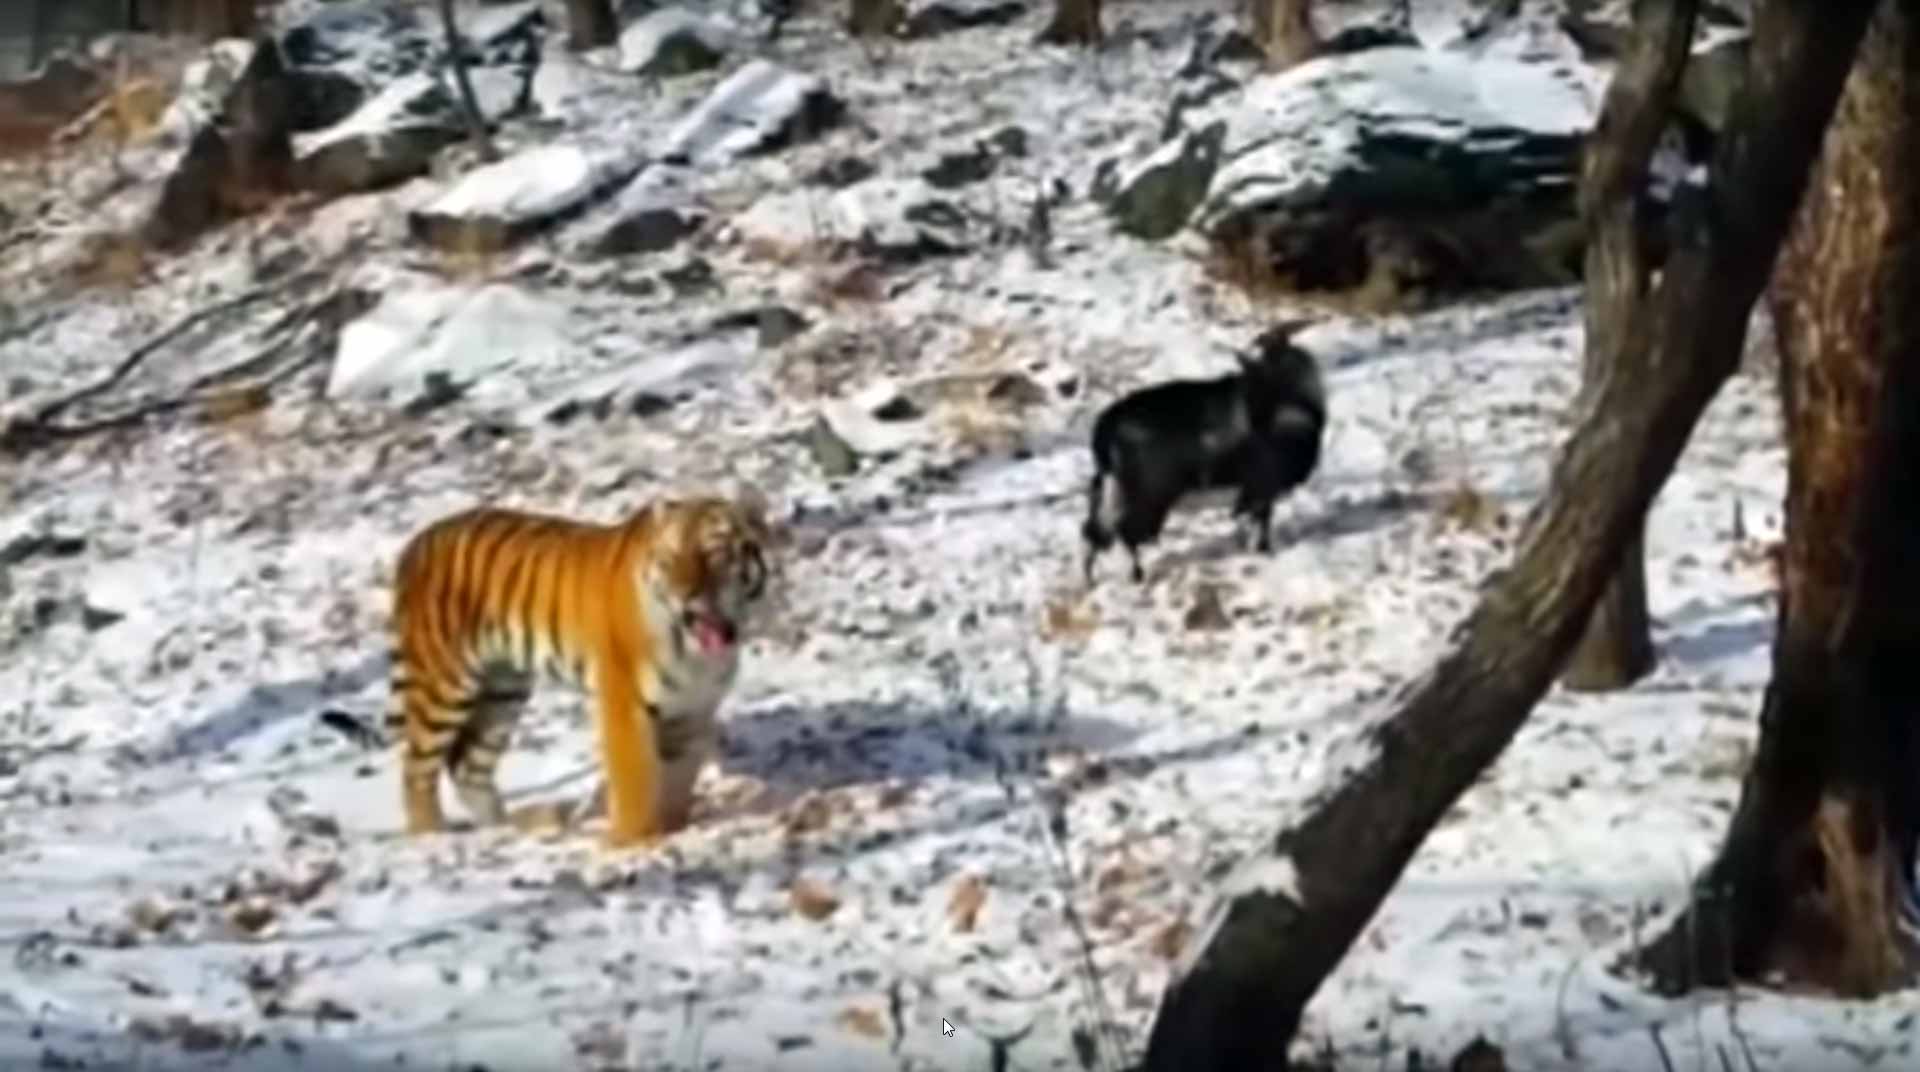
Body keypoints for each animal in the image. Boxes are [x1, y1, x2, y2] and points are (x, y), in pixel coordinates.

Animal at [321, 491, 776, 849]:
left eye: (714, 553)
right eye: (670, 558)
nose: (686, 596)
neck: (695, 650)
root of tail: (414, 543)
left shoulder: (693, 709)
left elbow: (679, 777)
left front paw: (674, 826)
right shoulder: (624, 702)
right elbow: (633, 777)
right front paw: (635, 842)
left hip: (503, 691)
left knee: (467, 765)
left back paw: (507, 829)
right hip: (445, 684)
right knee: (417, 766)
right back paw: (431, 836)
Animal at [1081, 319, 1327, 585]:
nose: (1254, 420)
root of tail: (1107, 427)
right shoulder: (1262, 486)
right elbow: (1261, 521)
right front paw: (1263, 552)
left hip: (1112, 489)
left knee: (1095, 530)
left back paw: (1092, 578)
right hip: (1150, 493)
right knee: (1126, 530)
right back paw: (1137, 575)